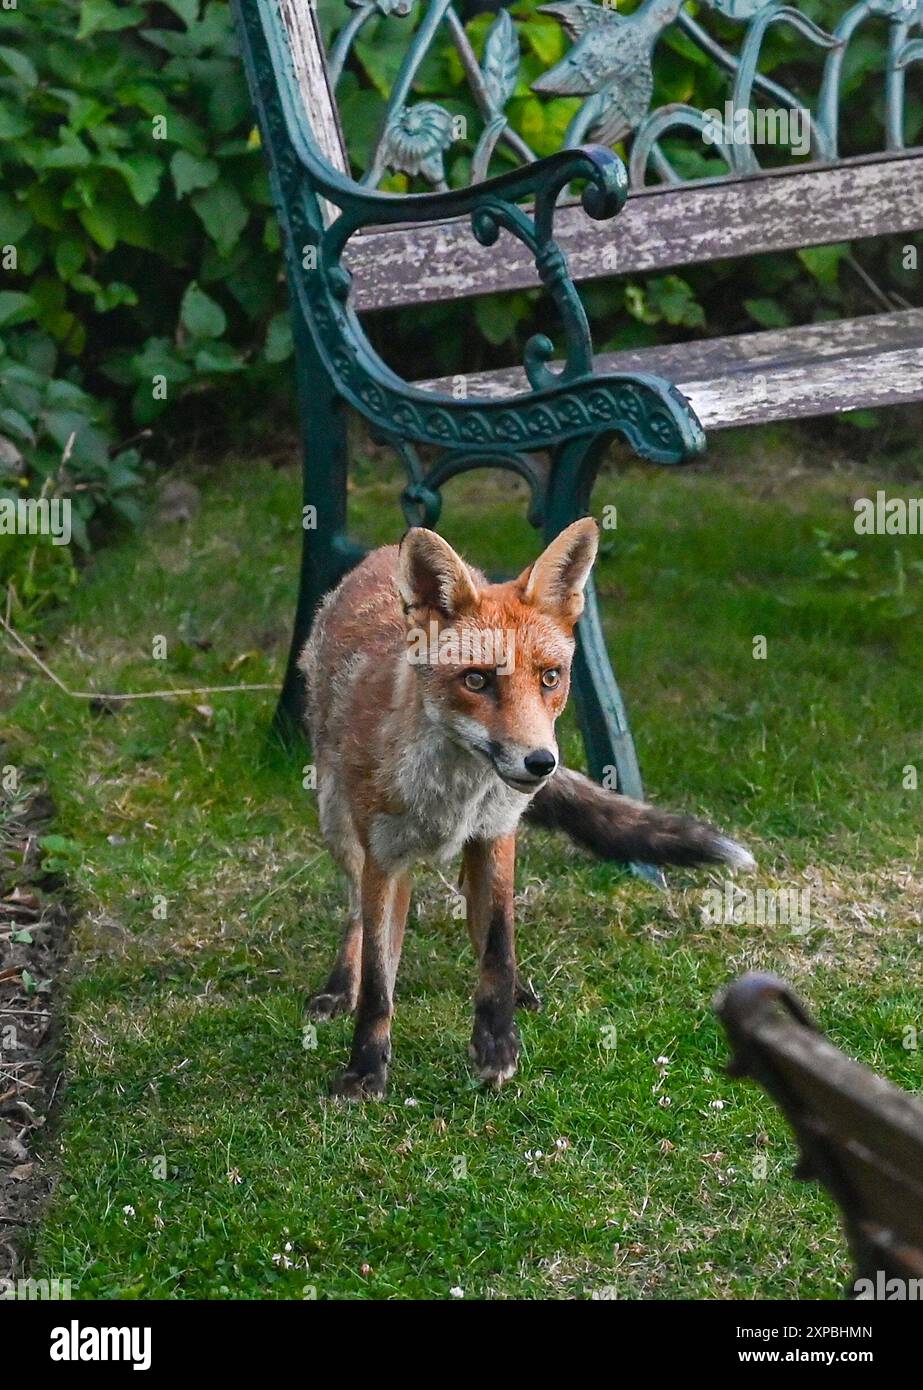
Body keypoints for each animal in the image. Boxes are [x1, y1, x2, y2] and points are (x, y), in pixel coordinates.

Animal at [301, 518, 755, 1099]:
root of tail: (379, 552)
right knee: (356, 916)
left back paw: (517, 992)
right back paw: (341, 986)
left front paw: (497, 1045)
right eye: (476, 679)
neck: (455, 796)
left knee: (482, 922)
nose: (541, 762)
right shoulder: (386, 860)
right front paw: (366, 1069)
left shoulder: (496, 832)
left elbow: (498, 945)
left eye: (550, 677)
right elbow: (381, 980)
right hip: (336, 821)